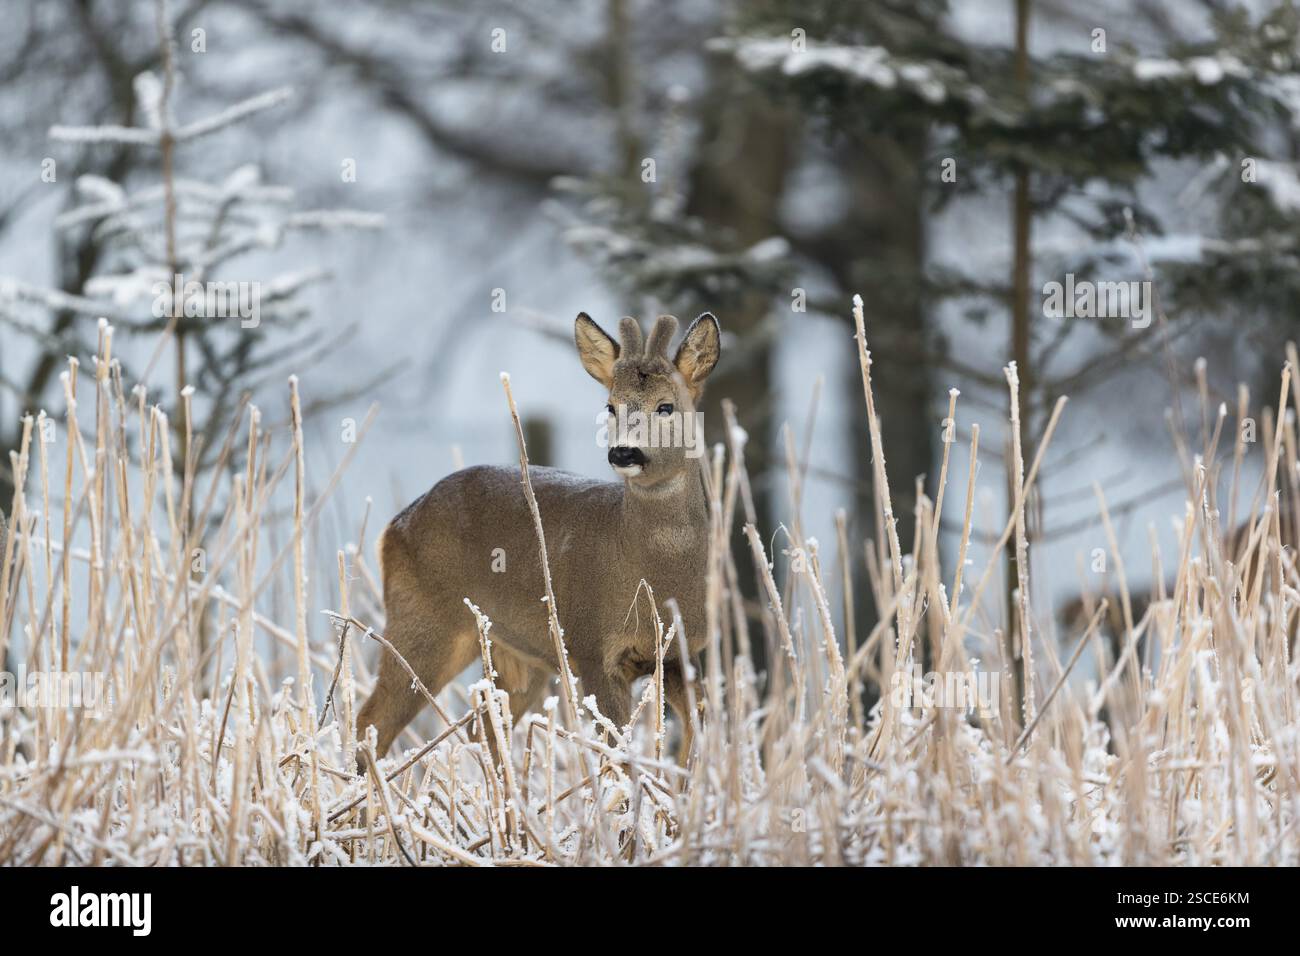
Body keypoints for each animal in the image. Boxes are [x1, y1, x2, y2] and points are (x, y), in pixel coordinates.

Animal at [355, 311, 721, 767]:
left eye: (666, 406)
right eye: (610, 405)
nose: (623, 453)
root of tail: (395, 525)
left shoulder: (681, 655)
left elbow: (696, 737)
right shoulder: (589, 647)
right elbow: (619, 756)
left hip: (514, 653)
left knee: (484, 729)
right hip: (421, 618)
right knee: (372, 720)